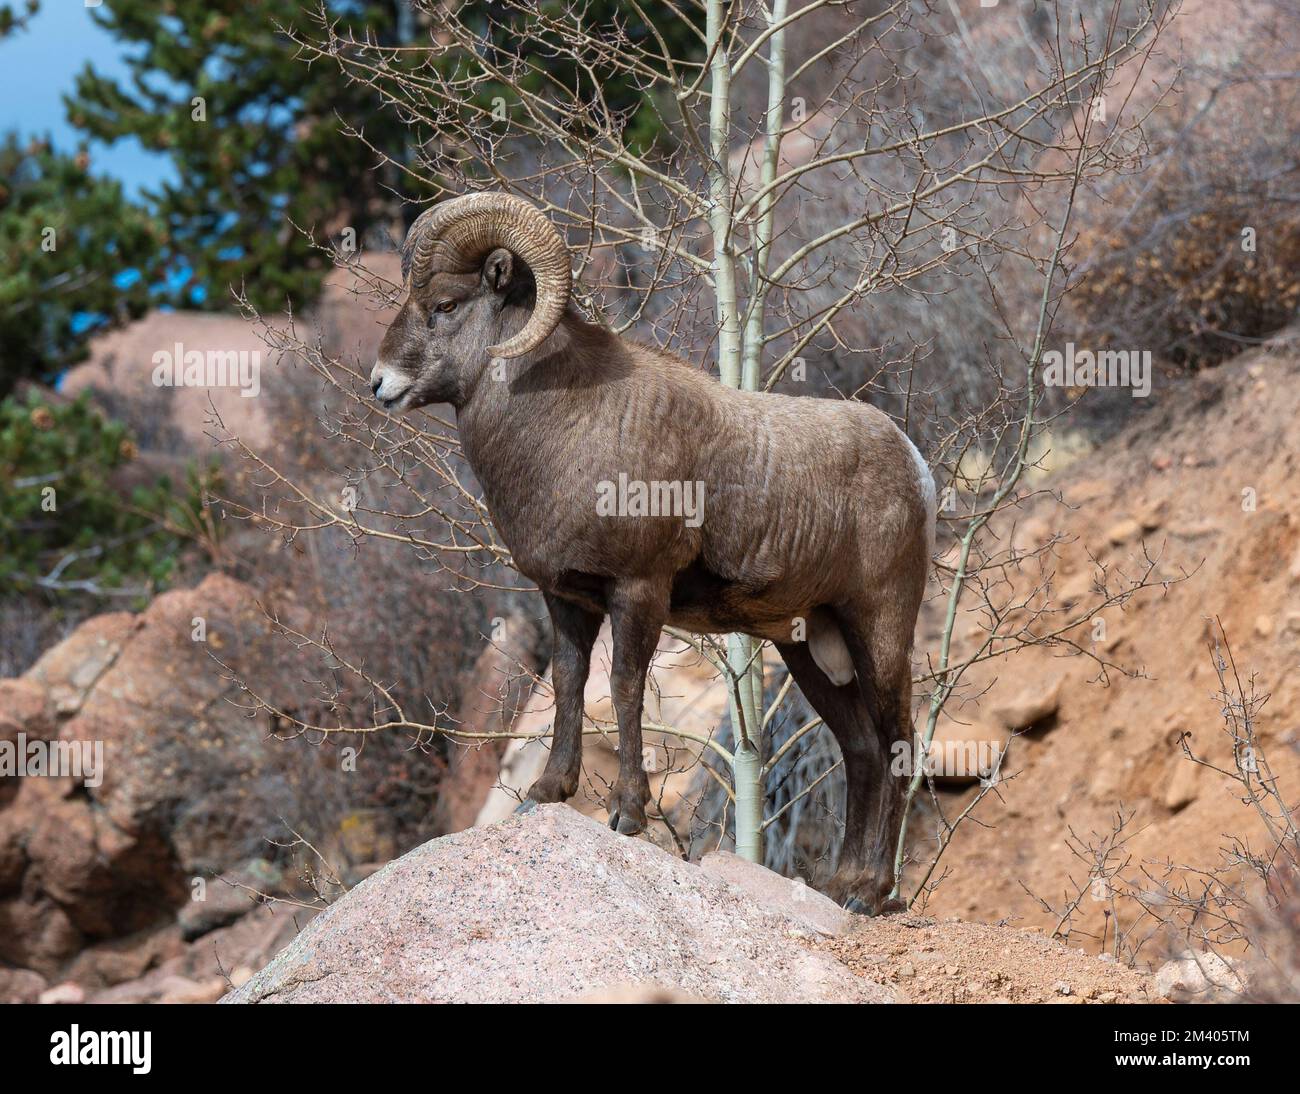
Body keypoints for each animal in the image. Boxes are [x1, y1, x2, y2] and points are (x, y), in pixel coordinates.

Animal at [369, 192, 935, 913]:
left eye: (444, 304)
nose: (380, 384)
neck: (563, 421)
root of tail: (914, 466)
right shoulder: (565, 599)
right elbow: (569, 682)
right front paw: (548, 792)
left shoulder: (638, 590)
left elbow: (624, 686)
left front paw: (627, 815)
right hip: (808, 646)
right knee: (861, 749)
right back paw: (842, 888)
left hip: (878, 627)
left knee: (897, 743)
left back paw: (873, 892)